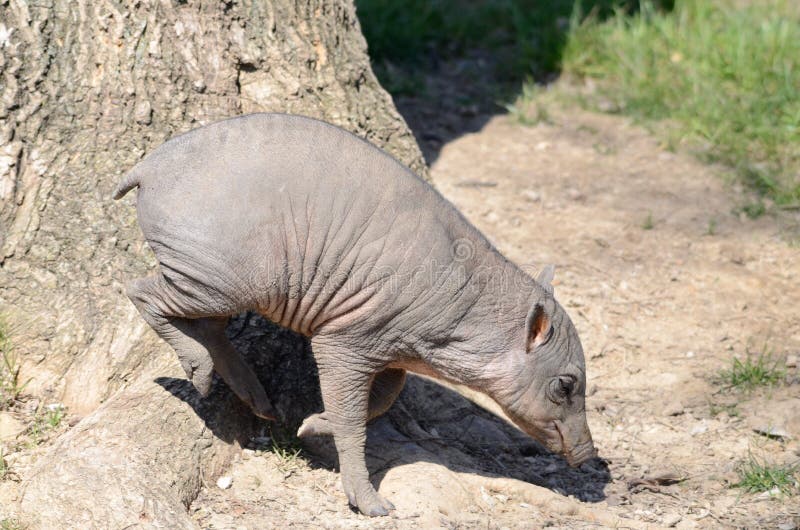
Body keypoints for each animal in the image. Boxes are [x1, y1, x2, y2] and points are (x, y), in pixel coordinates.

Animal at [114, 113, 596, 516]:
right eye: (565, 385)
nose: (590, 454)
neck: (457, 321)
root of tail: (146, 168)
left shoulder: (389, 352)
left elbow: (381, 399)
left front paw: (309, 424)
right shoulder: (343, 341)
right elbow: (352, 417)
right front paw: (374, 507)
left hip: (220, 282)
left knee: (208, 327)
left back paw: (261, 405)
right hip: (218, 277)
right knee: (139, 290)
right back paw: (198, 374)